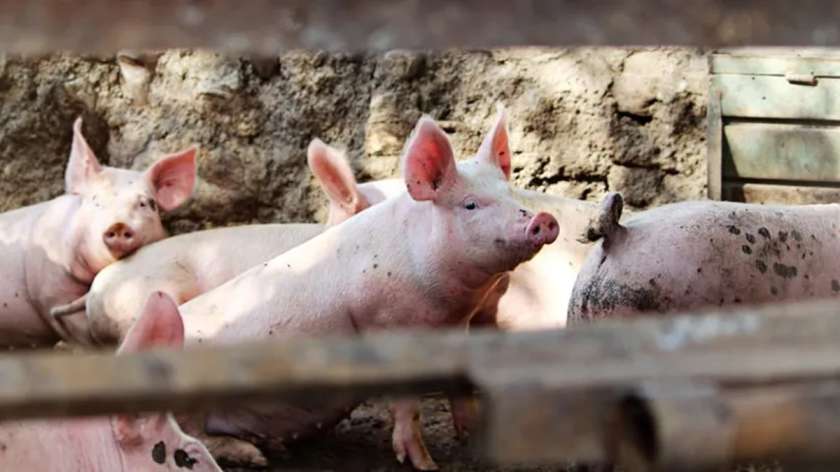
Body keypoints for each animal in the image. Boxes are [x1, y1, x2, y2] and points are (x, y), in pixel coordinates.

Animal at [174, 113, 558, 470]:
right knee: (193, 435)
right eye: (470, 204)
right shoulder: (389, 326)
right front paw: (425, 464)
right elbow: (408, 405)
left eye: (510, 194)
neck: (448, 308)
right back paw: (256, 455)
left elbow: (460, 384)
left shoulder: (457, 328)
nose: (543, 219)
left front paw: (473, 439)